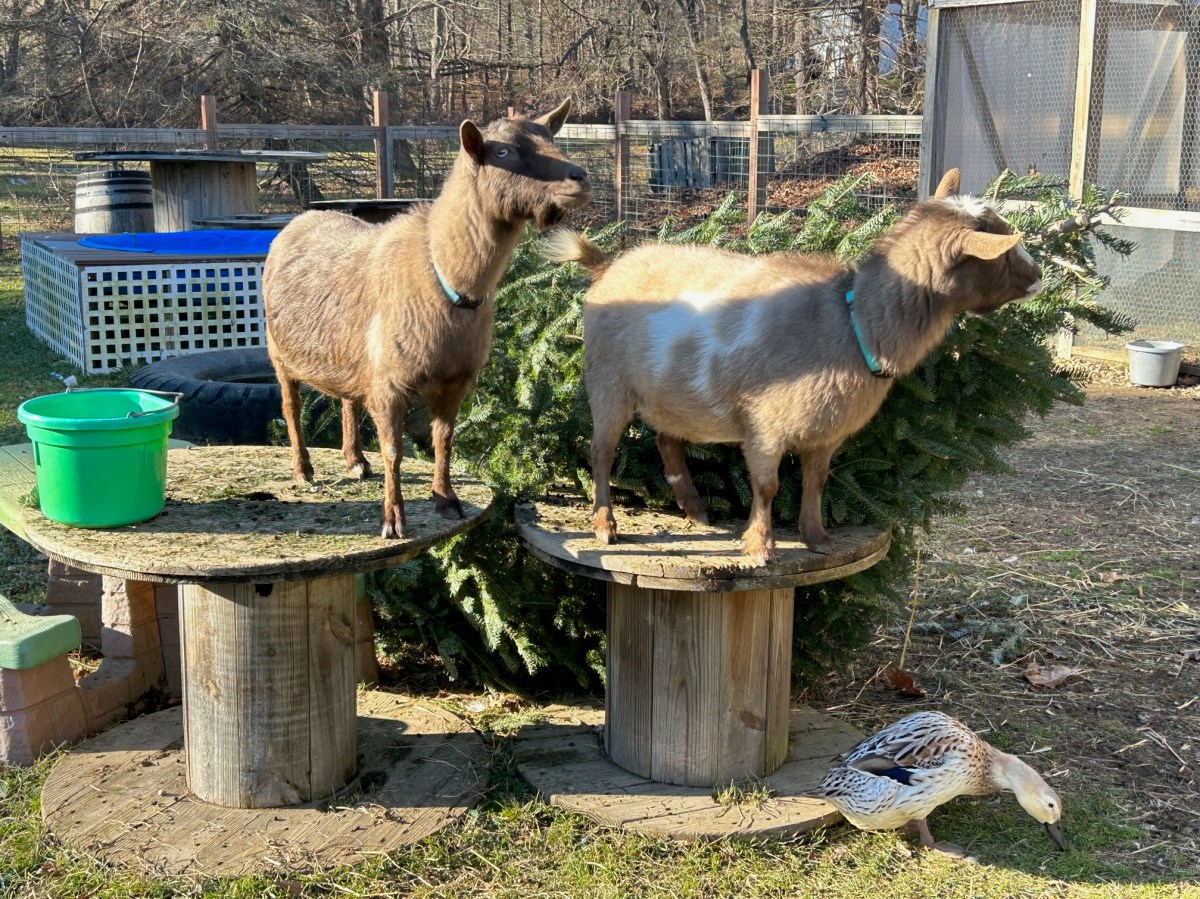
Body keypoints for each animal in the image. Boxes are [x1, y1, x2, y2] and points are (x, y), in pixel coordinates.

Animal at [264, 101, 591, 538]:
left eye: (549, 138)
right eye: (502, 152)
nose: (580, 178)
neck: (443, 276)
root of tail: (296, 222)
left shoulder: (456, 379)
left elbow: (444, 438)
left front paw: (446, 500)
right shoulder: (388, 385)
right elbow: (394, 449)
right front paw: (392, 519)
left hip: (350, 356)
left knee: (347, 400)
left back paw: (355, 461)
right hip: (279, 355)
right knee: (292, 408)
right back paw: (304, 470)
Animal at [543, 169, 1042, 564]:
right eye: (1000, 250)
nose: (1038, 278)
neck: (852, 323)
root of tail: (607, 267)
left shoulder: (826, 430)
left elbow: (816, 481)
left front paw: (817, 539)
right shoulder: (766, 424)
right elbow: (767, 486)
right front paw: (759, 548)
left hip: (670, 392)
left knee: (667, 439)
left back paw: (695, 508)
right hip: (607, 382)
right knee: (601, 452)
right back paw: (605, 525)